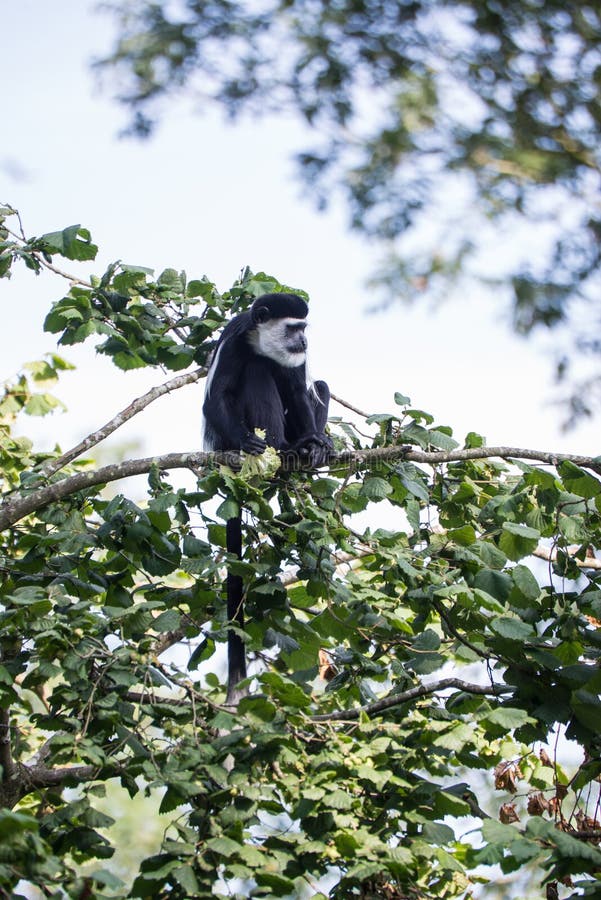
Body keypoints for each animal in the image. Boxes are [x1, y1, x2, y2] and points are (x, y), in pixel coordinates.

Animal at [202, 293, 332, 703]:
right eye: (293, 328)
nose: (304, 341)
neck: (263, 341)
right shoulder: (235, 343)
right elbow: (217, 397)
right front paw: (250, 443)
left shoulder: (296, 361)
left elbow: (299, 391)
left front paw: (317, 444)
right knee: (257, 374)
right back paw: (278, 449)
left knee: (318, 386)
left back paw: (306, 449)